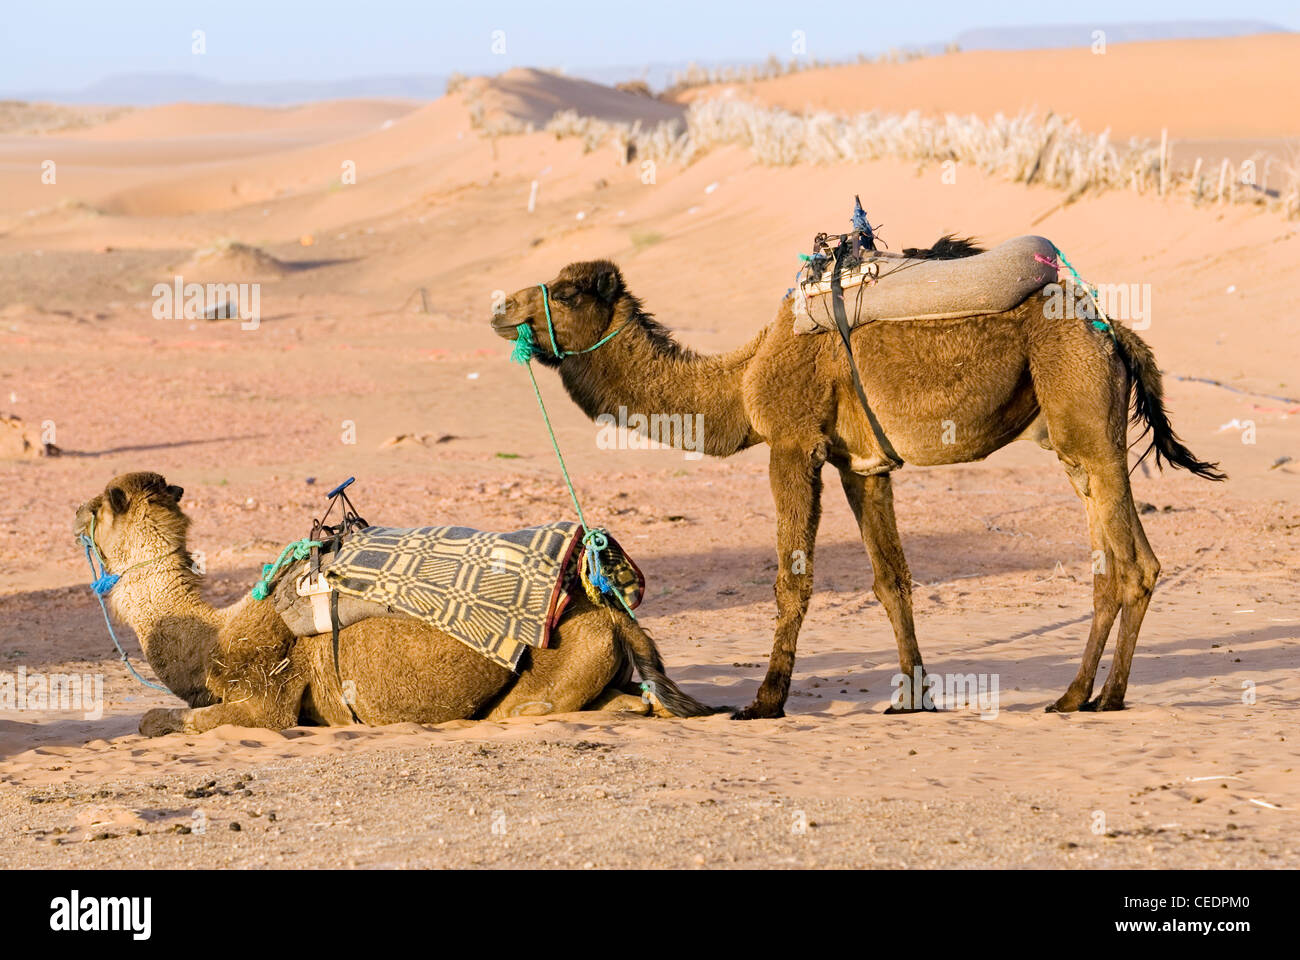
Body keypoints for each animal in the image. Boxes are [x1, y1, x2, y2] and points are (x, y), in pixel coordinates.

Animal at [74, 472, 718, 737]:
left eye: (98, 507)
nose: (74, 512)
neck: (213, 633)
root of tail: (611, 611)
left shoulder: (267, 695)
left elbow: (159, 720)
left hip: (554, 667)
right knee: (638, 700)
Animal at [490, 244, 1225, 719]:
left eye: (569, 293)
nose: (502, 306)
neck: (743, 375)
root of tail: (1114, 330)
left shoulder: (792, 444)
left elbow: (793, 578)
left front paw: (764, 701)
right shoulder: (860, 465)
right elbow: (891, 578)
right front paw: (913, 697)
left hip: (1085, 421)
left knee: (1131, 562)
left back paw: (1095, 696)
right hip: (1078, 439)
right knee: (1121, 561)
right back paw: (1088, 694)